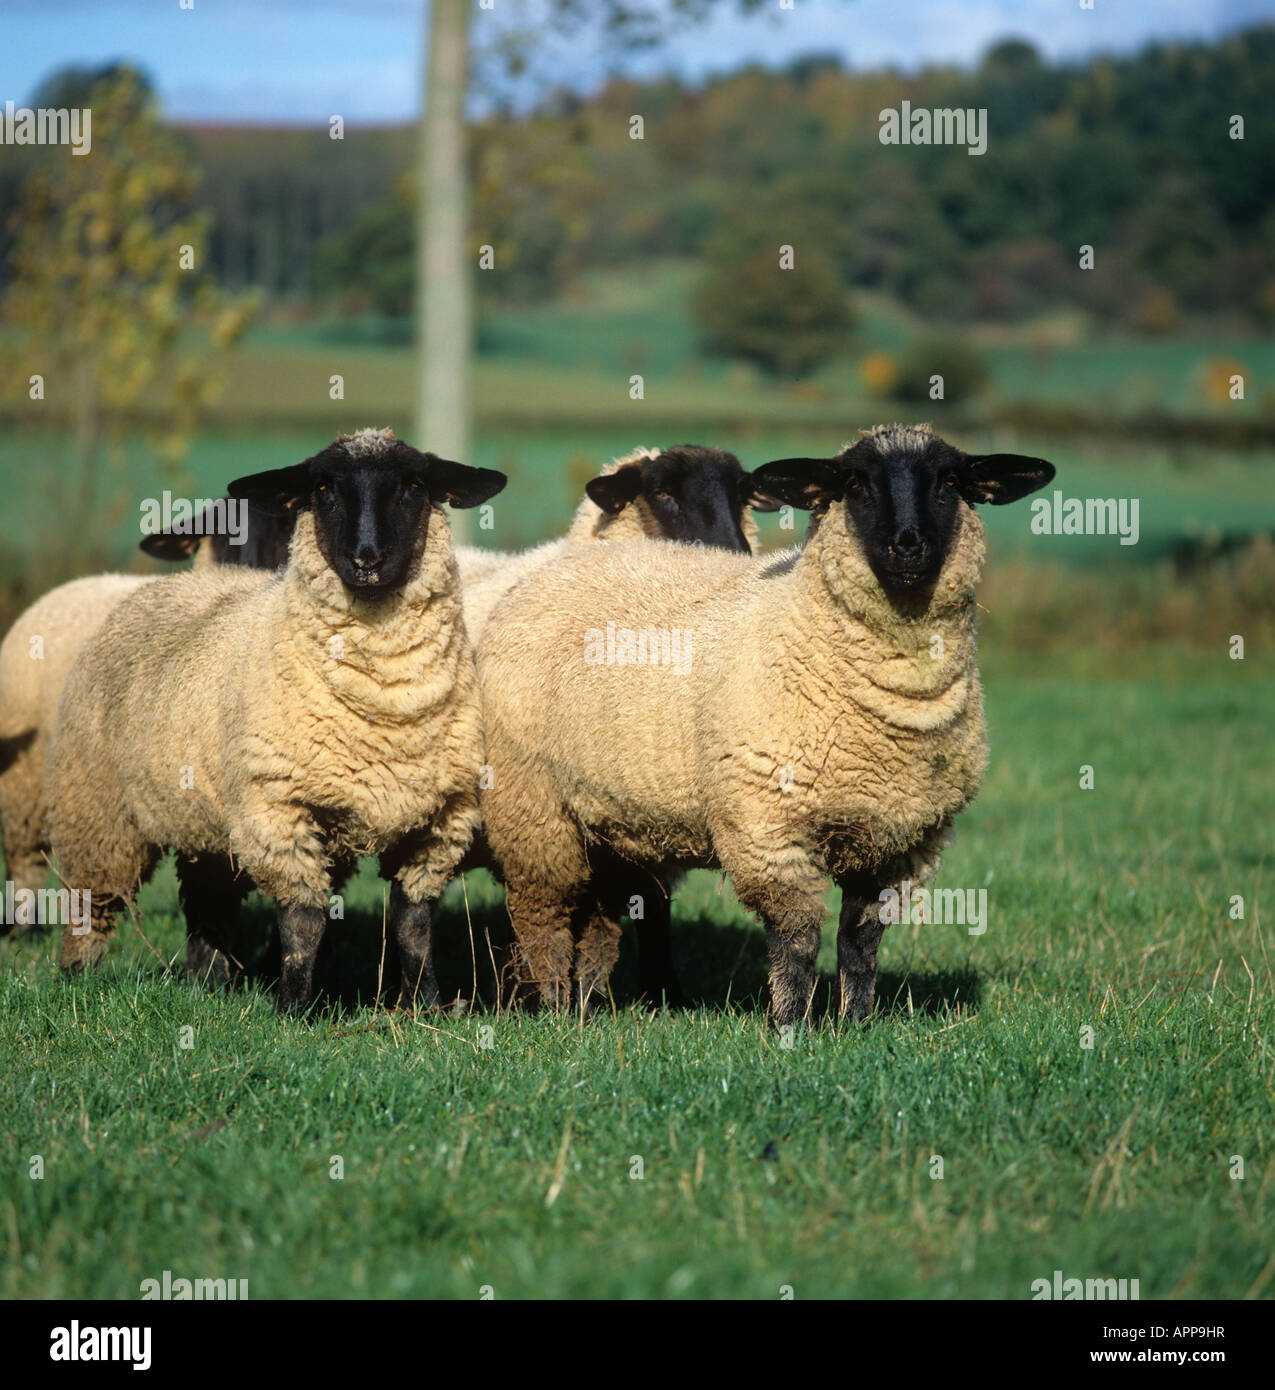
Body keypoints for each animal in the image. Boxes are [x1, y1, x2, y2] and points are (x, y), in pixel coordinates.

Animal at [46, 428, 505, 1012]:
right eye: (322, 487)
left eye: (415, 486)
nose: (367, 558)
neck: (385, 706)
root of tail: (161, 588)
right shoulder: (277, 807)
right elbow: (304, 921)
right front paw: (292, 1008)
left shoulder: (440, 818)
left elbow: (414, 923)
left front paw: (425, 1004)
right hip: (97, 809)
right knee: (92, 899)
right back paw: (76, 976)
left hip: (202, 816)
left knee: (209, 896)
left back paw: (208, 981)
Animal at [475, 424, 1055, 1024]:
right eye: (854, 484)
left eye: (950, 483)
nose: (908, 545)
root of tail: (551, 569)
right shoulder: (766, 824)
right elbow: (797, 937)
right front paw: (791, 1024)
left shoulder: (900, 839)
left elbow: (861, 941)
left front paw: (857, 1024)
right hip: (534, 809)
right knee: (543, 918)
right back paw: (552, 1010)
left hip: (609, 820)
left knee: (597, 926)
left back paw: (586, 1007)